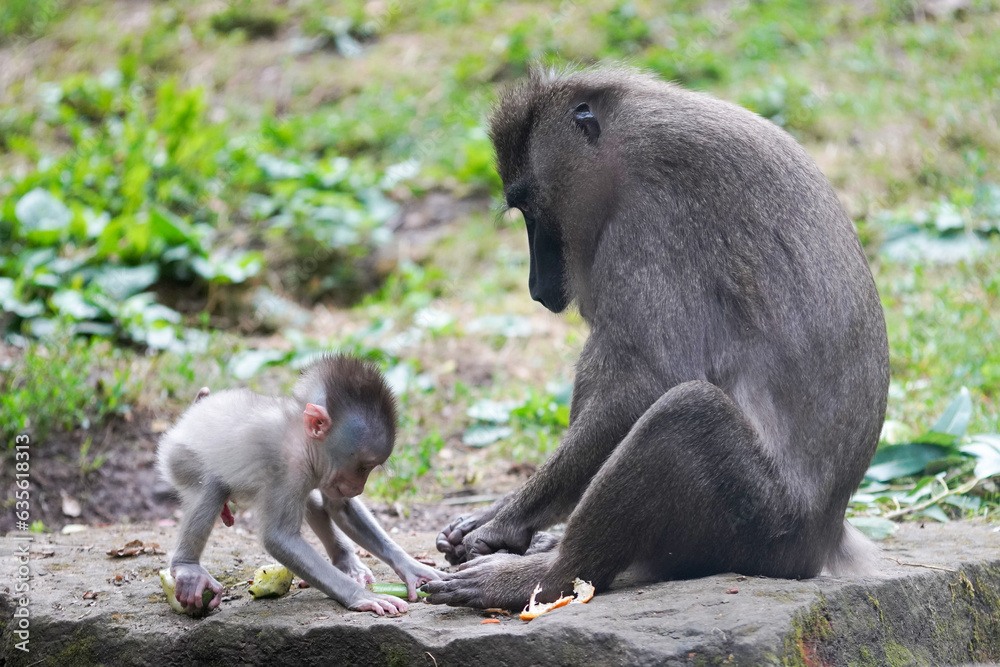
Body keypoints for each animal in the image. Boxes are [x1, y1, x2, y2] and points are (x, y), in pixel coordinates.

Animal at [157, 354, 443, 616]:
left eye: (370, 469)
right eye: (363, 467)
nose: (359, 487)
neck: (304, 443)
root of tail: (188, 417)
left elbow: (340, 507)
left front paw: (410, 566)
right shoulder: (287, 469)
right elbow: (279, 538)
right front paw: (361, 596)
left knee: (312, 501)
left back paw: (346, 561)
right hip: (180, 457)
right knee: (211, 487)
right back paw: (187, 567)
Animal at [424, 66, 889, 610]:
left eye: (533, 211)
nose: (536, 287)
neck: (624, 140)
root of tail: (823, 540)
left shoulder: (647, 220)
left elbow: (647, 384)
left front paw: (506, 522)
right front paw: (494, 514)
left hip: (760, 524)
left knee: (685, 413)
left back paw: (548, 575)